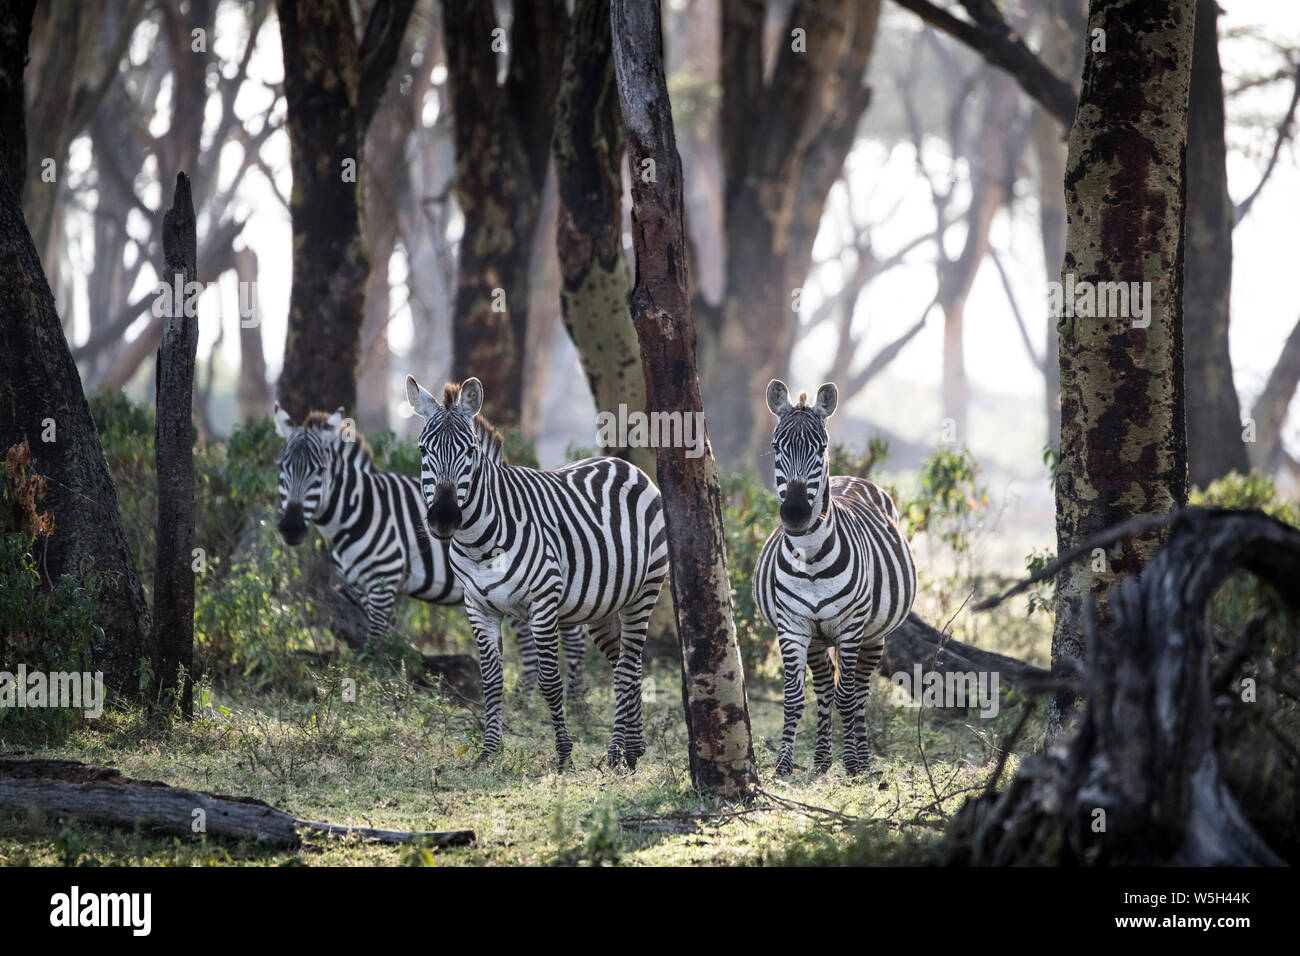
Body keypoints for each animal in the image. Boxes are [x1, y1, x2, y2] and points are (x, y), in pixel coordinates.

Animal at [272, 405, 587, 696]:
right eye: (281, 468)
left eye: (319, 471)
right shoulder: (364, 586)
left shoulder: (384, 580)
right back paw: (527, 699)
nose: (290, 528)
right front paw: (392, 680)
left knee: (573, 638)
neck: (359, 509)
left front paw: (373, 686)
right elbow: (385, 637)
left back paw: (572, 701)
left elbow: (374, 641)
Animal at [405, 375, 669, 770]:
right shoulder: (477, 607)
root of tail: (623, 464)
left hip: (644, 593)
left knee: (625, 669)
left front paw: (564, 756)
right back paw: (632, 750)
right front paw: (488, 752)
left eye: (470, 452)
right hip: (601, 607)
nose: (444, 519)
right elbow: (492, 679)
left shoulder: (542, 604)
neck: (479, 543)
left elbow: (549, 681)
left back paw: (615, 754)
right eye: (423, 451)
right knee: (628, 665)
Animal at [752, 380, 917, 777]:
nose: (796, 514)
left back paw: (861, 759)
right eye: (776, 447)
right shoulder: (792, 625)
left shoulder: (851, 626)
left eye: (821, 448)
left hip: (873, 636)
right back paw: (823, 759)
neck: (810, 558)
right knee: (826, 684)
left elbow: (847, 695)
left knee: (858, 692)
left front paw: (853, 764)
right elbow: (795, 696)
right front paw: (783, 766)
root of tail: (851, 477)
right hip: (816, 636)